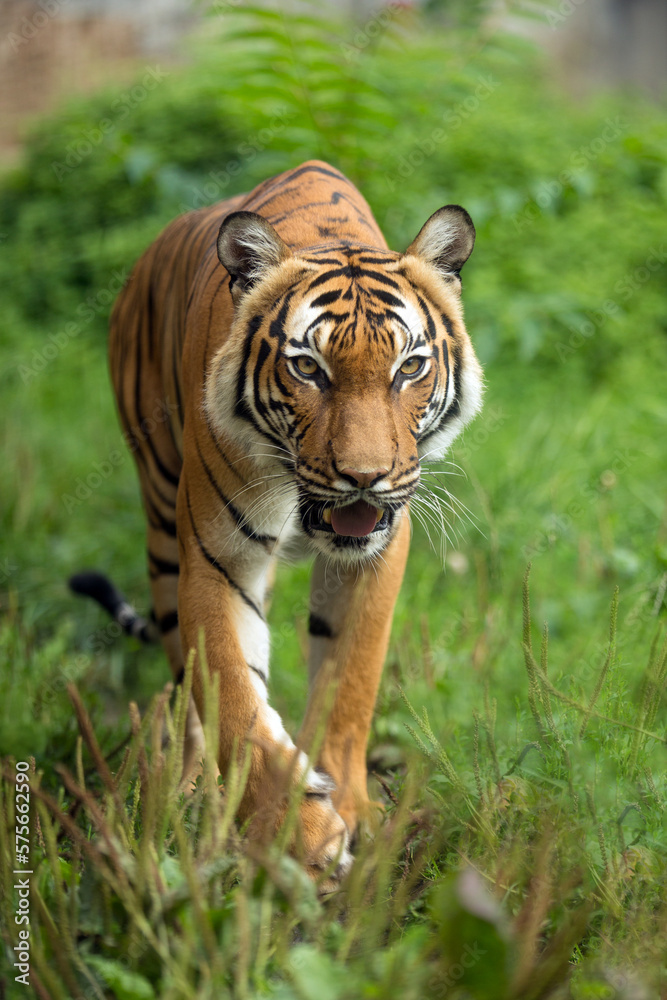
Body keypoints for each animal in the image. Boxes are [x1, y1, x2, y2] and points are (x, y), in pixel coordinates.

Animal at [71, 159, 483, 891]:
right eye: (307, 368)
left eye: (409, 366)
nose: (364, 477)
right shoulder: (215, 557)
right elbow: (232, 698)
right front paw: (301, 834)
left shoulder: (376, 552)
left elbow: (350, 682)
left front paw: (349, 807)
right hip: (162, 528)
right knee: (189, 687)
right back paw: (194, 796)